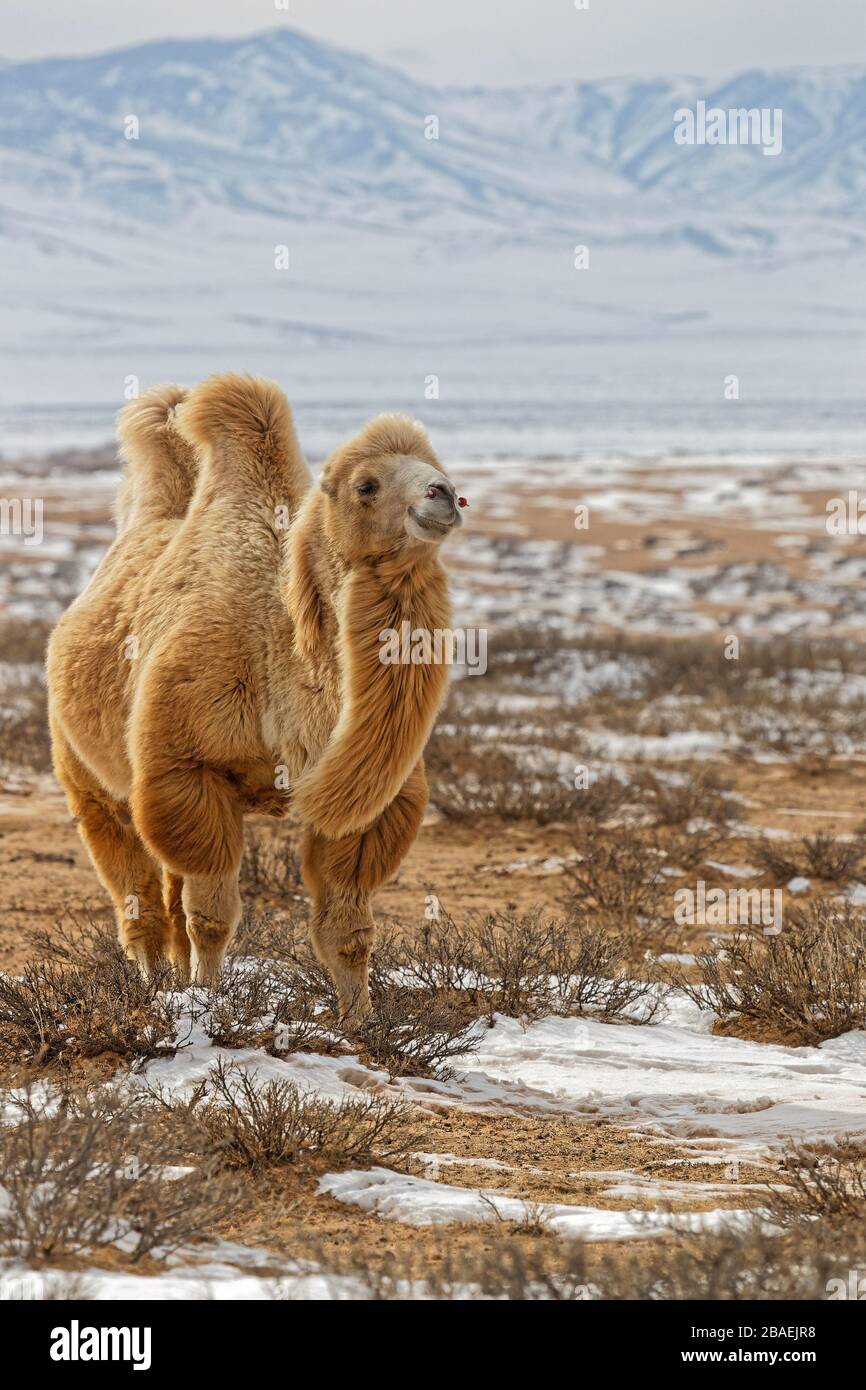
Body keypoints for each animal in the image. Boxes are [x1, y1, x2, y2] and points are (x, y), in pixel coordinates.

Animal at [46, 373, 462, 1022]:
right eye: (367, 485)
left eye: (436, 464)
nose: (444, 495)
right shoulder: (187, 770)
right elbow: (212, 917)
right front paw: (208, 1006)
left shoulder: (367, 806)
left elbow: (347, 928)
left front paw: (361, 1021)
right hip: (85, 771)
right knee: (135, 886)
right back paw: (151, 989)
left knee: (166, 893)